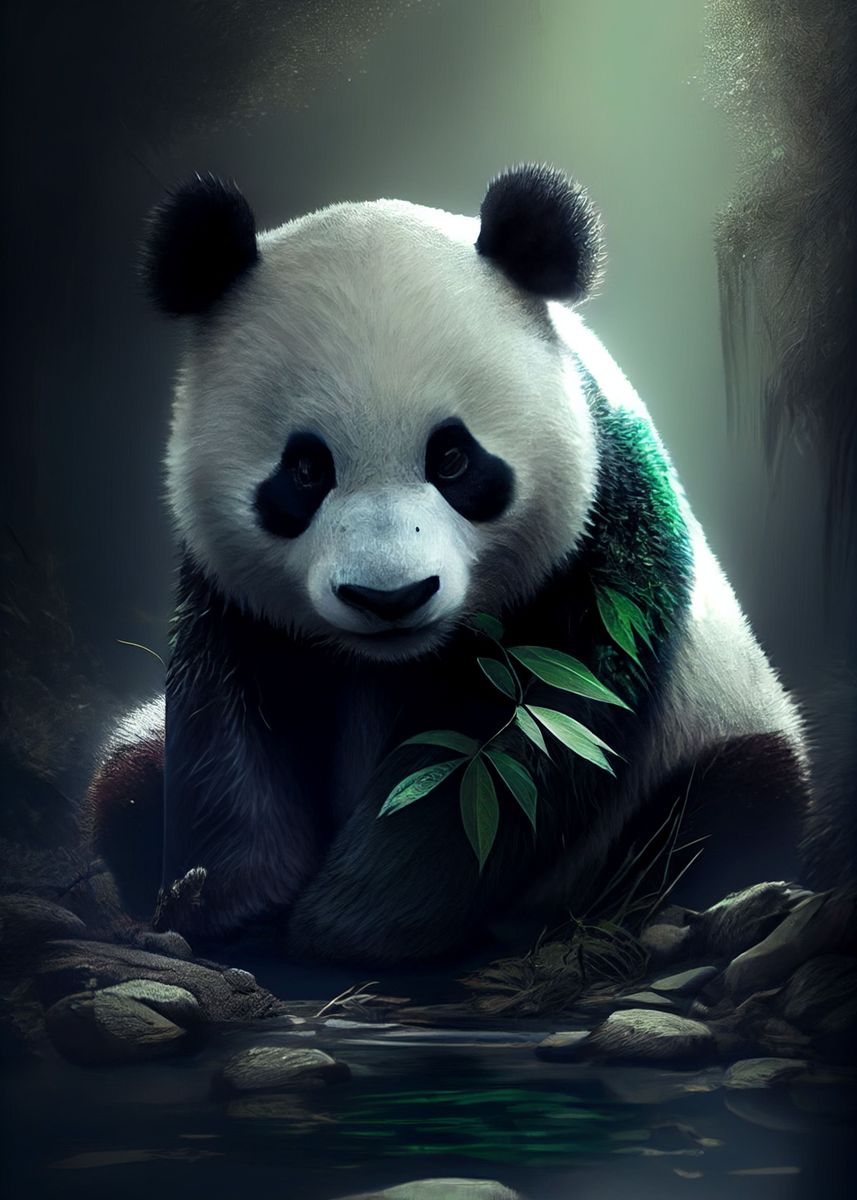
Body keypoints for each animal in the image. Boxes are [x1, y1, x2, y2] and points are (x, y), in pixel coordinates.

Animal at [88, 163, 809, 965]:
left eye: (454, 458)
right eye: (305, 471)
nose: (390, 597)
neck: (391, 664)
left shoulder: (599, 553)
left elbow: (506, 759)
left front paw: (348, 930)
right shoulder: (231, 599)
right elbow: (229, 736)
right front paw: (230, 909)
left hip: (710, 733)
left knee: (739, 801)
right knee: (125, 775)